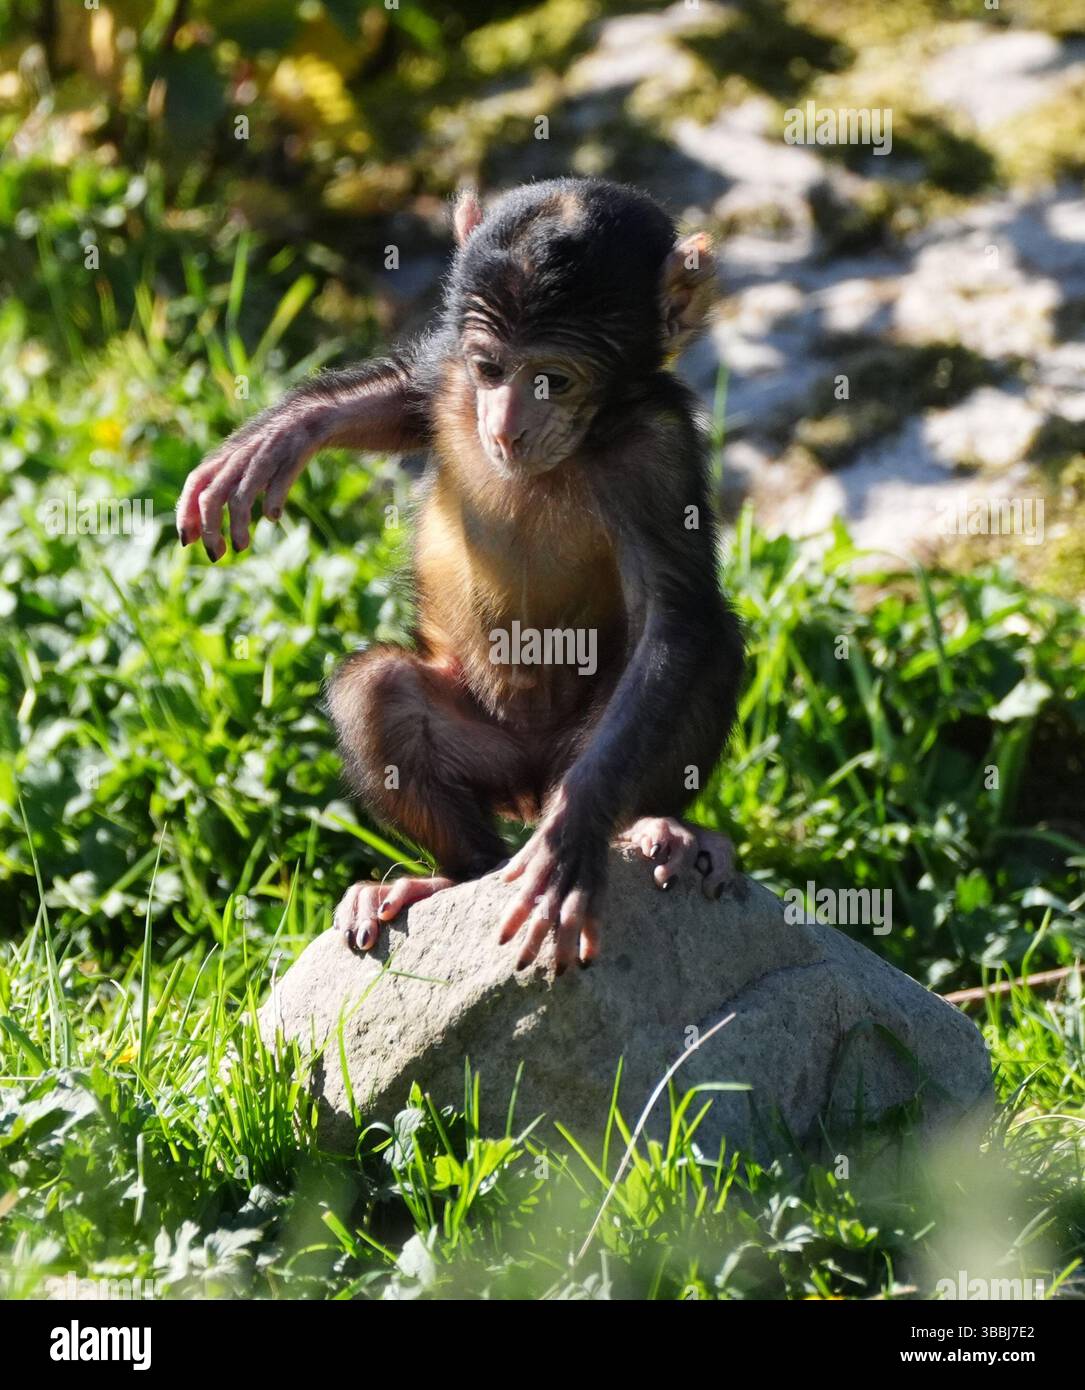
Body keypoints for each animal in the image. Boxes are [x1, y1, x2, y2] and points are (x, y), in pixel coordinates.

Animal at [177, 178, 744, 973]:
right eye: (491, 370)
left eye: (552, 380)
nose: (505, 424)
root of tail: (528, 784)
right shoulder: (451, 371)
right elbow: (405, 395)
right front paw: (282, 433)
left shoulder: (656, 453)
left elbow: (673, 615)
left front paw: (572, 837)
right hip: (488, 754)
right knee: (378, 690)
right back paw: (448, 875)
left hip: (570, 749)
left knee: (709, 647)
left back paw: (655, 828)